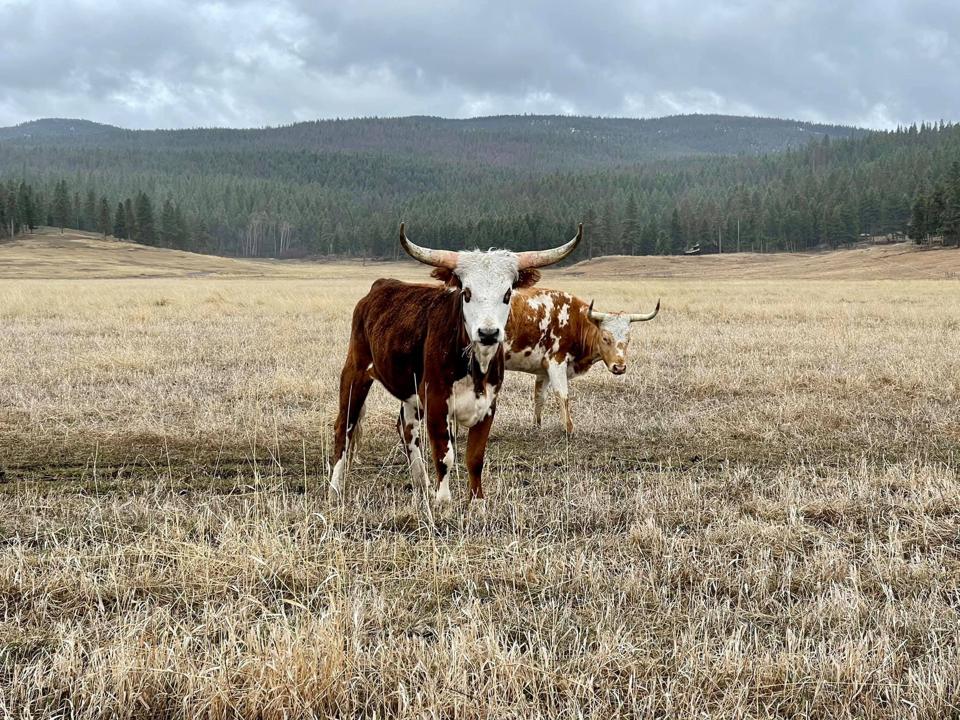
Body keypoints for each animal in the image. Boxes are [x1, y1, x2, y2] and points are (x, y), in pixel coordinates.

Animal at [330, 223, 582, 518]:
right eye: (467, 293)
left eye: (507, 294)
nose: (488, 333)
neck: (476, 367)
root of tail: (381, 285)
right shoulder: (437, 402)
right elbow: (444, 454)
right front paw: (443, 501)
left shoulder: (488, 405)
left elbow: (475, 456)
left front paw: (477, 502)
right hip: (355, 371)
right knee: (344, 426)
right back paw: (335, 488)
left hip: (410, 392)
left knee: (406, 429)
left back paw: (421, 484)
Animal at [504, 289, 659, 433]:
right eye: (605, 338)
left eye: (628, 339)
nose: (619, 367)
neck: (575, 321)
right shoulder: (556, 363)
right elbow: (563, 395)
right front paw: (569, 430)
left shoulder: (543, 369)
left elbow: (539, 396)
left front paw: (536, 426)